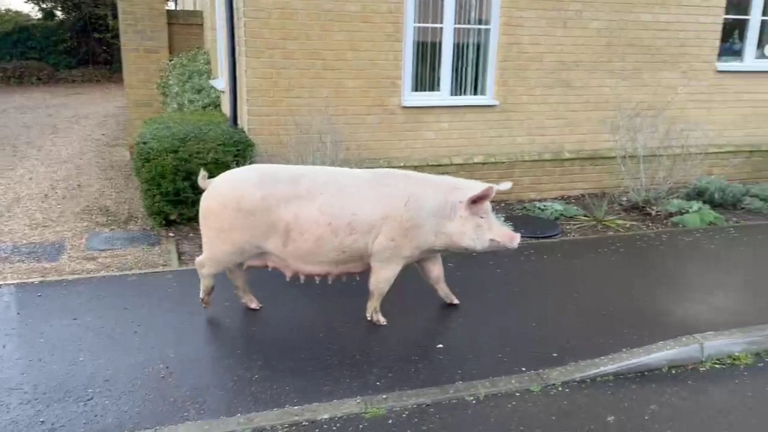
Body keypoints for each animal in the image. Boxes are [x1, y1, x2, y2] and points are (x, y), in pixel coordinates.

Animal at [195, 164, 521, 326]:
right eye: (482, 215)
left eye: (490, 212)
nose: (516, 237)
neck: (436, 216)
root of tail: (212, 183)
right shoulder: (388, 254)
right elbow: (378, 286)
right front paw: (379, 321)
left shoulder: (426, 254)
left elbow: (437, 278)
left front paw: (454, 302)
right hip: (222, 245)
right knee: (203, 265)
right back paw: (206, 303)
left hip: (236, 252)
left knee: (236, 274)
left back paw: (255, 305)